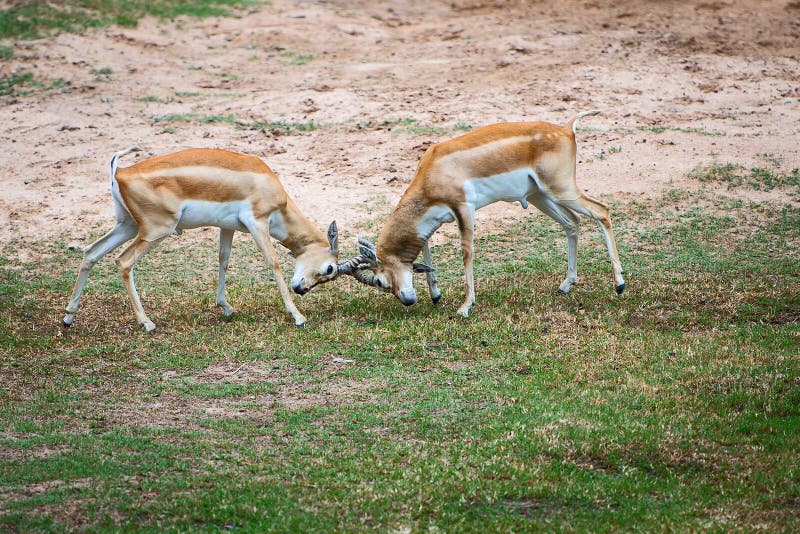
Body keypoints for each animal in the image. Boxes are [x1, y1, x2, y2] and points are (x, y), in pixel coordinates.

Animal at [62, 147, 342, 332]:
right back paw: (147, 323)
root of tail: (119, 172)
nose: (301, 289)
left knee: (91, 252)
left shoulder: (227, 227)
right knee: (123, 262)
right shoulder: (257, 223)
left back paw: (68, 317)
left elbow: (223, 259)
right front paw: (298, 316)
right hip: (156, 231)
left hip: (127, 226)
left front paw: (225, 306)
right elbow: (273, 264)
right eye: (329, 268)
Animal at [339, 111, 625, 317]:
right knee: (572, 222)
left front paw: (465, 307)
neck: (433, 170)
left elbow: (466, 253)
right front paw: (436, 294)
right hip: (540, 196)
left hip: (561, 189)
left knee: (601, 211)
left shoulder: (464, 208)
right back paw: (566, 285)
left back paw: (620, 284)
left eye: (379, 282)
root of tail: (566, 129)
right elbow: (427, 245)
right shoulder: (436, 218)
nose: (407, 301)